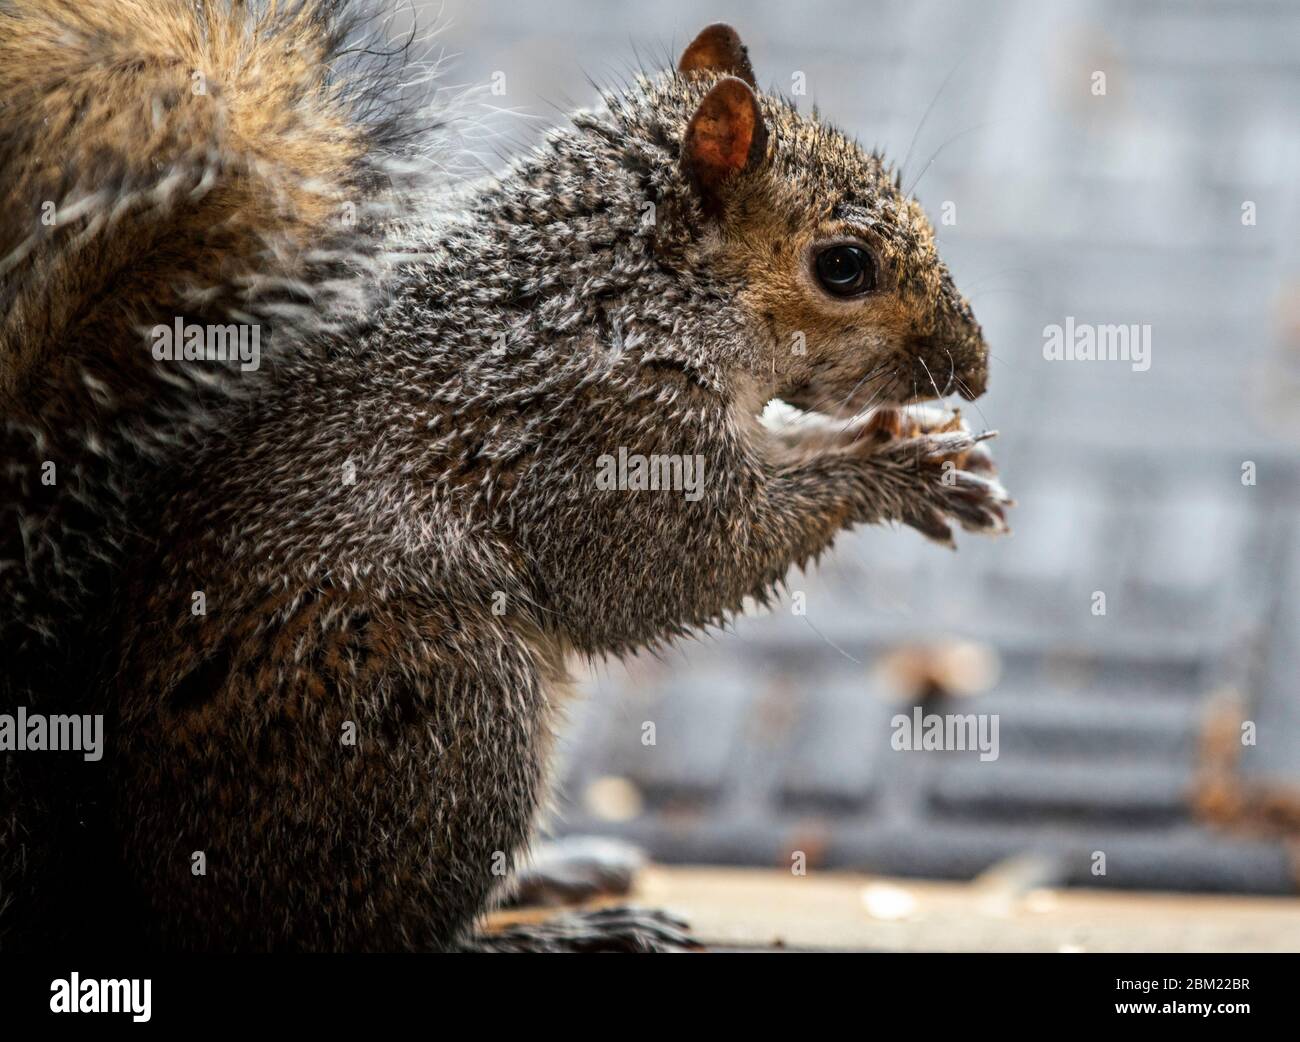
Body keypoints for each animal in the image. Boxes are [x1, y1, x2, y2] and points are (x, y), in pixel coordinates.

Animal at [0, 2, 1010, 952]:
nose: (976, 369)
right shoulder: (595, 438)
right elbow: (671, 571)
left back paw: (558, 876)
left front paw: (927, 447)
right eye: (844, 266)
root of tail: (134, 896)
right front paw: (896, 467)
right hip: (446, 704)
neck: (622, 295)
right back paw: (560, 931)